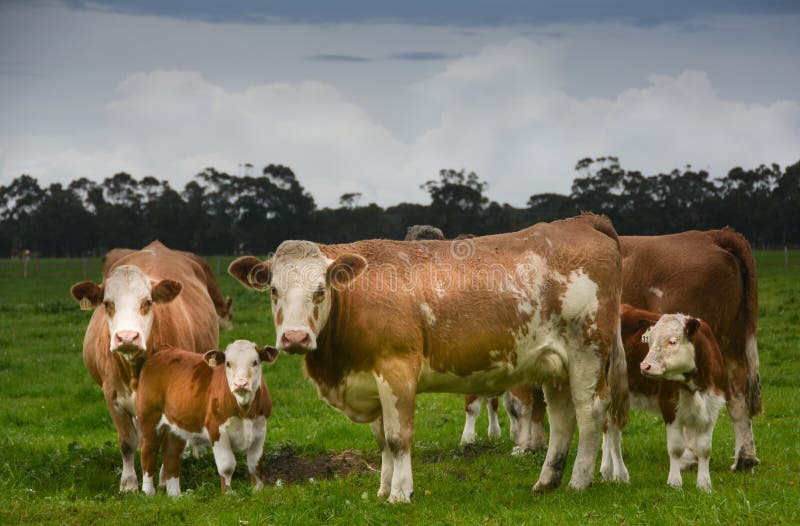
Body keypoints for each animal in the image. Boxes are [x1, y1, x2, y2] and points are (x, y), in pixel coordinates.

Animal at [70, 240, 219, 492]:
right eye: (107, 303)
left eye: (147, 302)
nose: (127, 337)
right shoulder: (112, 395)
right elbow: (127, 441)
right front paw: (129, 483)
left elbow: (170, 443)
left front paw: (164, 480)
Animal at [136, 340, 278, 496]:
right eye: (228, 363)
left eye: (255, 362)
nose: (240, 384)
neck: (244, 410)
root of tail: (163, 349)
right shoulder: (216, 429)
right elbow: (227, 466)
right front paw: (228, 493)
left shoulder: (260, 430)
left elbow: (255, 464)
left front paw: (258, 490)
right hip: (149, 417)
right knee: (148, 452)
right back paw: (148, 492)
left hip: (176, 427)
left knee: (171, 455)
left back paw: (175, 495)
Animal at [229, 213, 628, 503]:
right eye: (274, 290)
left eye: (320, 290)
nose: (295, 337)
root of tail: (582, 220)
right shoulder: (371, 381)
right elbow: (382, 440)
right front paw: (383, 489)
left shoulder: (396, 370)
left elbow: (397, 438)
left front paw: (400, 493)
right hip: (555, 363)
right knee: (562, 418)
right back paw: (547, 481)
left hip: (587, 350)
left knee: (590, 411)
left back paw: (579, 481)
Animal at [601, 305, 728, 492]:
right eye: (649, 341)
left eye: (673, 341)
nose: (644, 366)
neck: (695, 385)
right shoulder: (669, 407)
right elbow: (676, 448)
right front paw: (675, 482)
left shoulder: (711, 410)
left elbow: (704, 449)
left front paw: (704, 485)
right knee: (614, 435)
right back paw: (620, 475)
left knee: (607, 430)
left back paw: (607, 472)